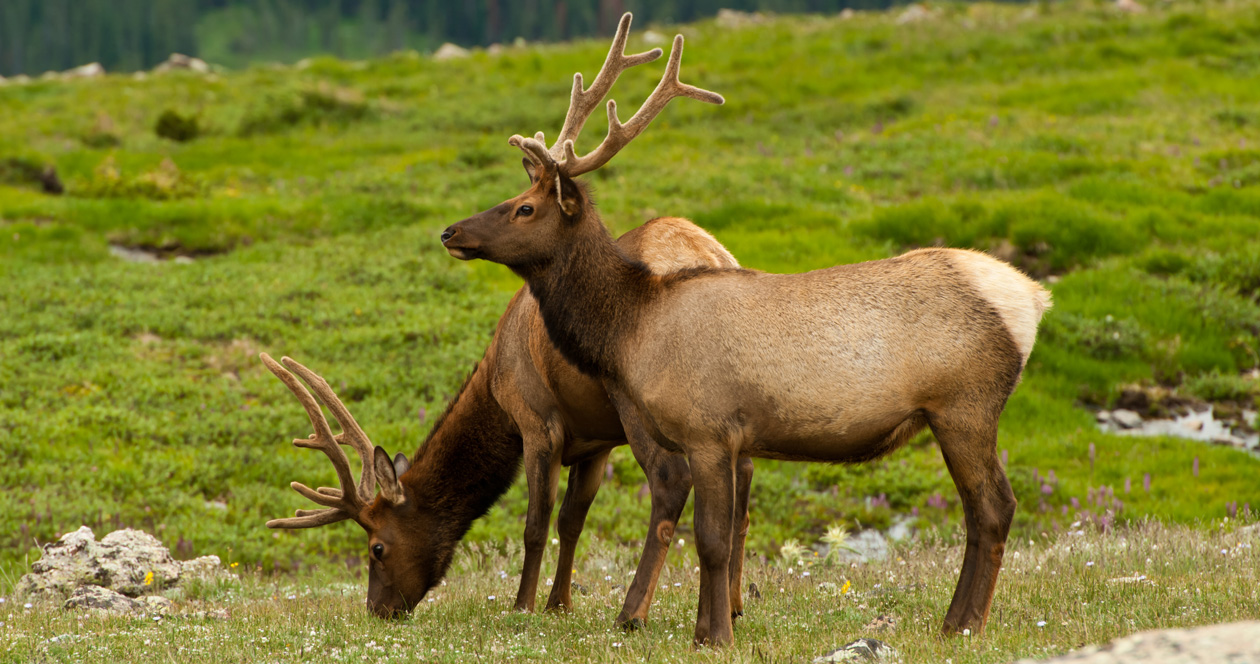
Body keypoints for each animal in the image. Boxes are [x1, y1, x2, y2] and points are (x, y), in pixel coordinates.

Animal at [261, 214, 754, 626]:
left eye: (376, 547)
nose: (377, 610)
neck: (495, 390)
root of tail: (708, 254)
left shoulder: (537, 422)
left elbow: (536, 525)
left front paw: (523, 606)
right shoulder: (596, 440)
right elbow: (571, 521)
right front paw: (559, 604)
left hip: (642, 404)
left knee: (671, 481)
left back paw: (633, 615)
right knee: (742, 487)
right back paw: (732, 605)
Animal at [439, 13, 1053, 647]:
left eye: (525, 209)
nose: (451, 231)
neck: (631, 330)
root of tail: (1033, 298)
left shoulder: (708, 429)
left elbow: (709, 539)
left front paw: (714, 636)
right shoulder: (725, 439)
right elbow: (719, 534)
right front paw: (706, 628)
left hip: (965, 404)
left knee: (993, 508)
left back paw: (963, 624)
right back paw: (956, 621)